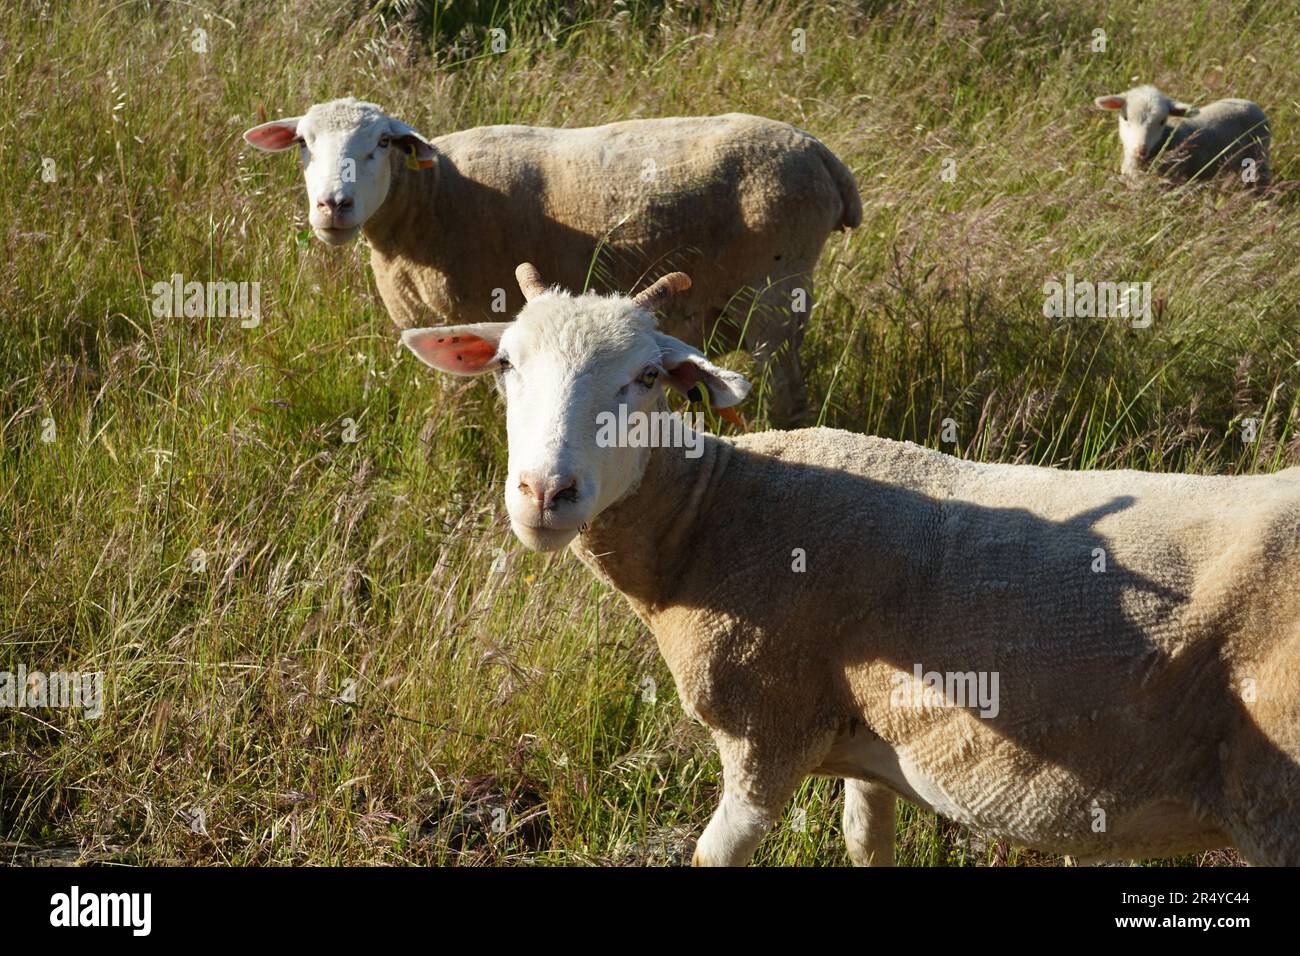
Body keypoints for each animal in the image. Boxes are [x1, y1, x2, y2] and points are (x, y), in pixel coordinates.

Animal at [243, 97, 862, 425]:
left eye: (381, 144)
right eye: (304, 144)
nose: (333, 205)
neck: (431, 197)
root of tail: (819, 152)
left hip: (777, 292)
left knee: (787, 395)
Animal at [399, 263, 1300, 867]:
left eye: (648, 376)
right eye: (506, 366)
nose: (544, 492)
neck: (709, 514)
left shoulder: (766, 730)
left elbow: (715, 854)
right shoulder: (874, 742)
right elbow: (866, 843)